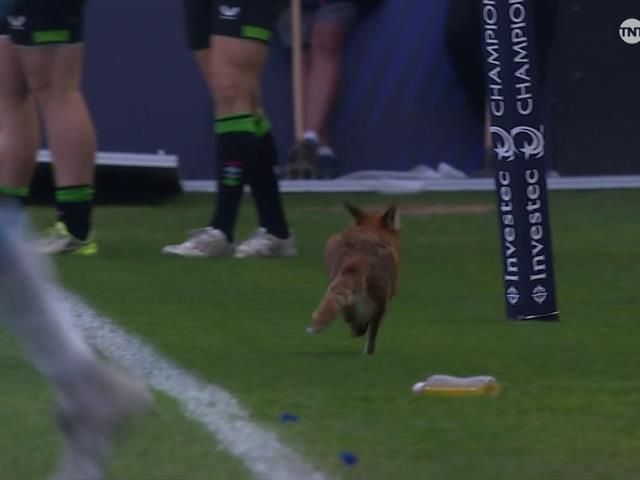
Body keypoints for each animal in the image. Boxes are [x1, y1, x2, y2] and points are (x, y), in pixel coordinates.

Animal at [307, 202, 401, 355]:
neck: (372, 230)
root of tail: (360, 253)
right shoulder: (385, 297)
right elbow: (370, 326)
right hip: (381, 299)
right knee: (372, 332)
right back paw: (368, 352)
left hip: (335, 277)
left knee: (347, 310)